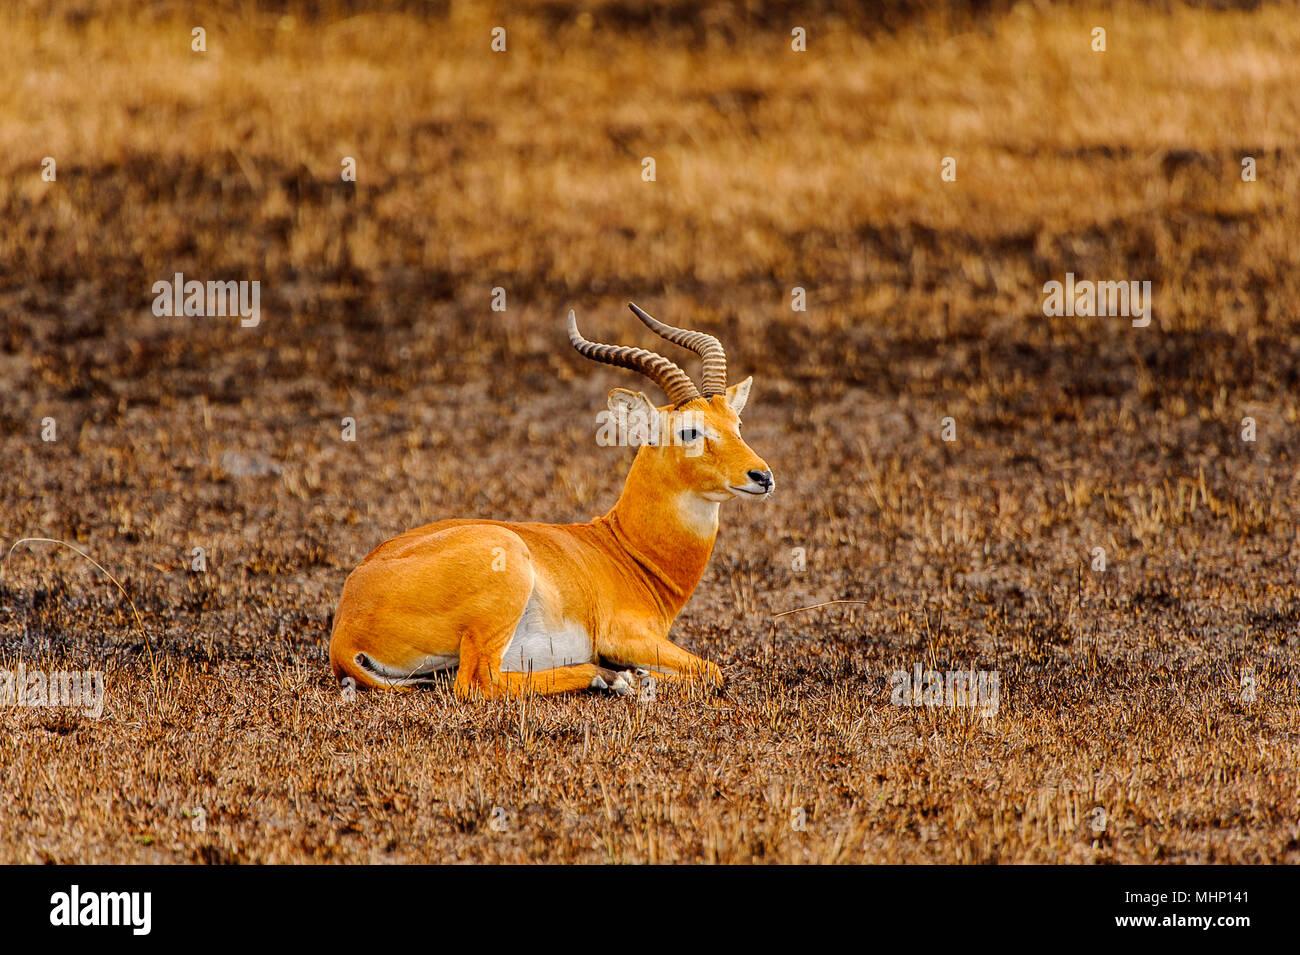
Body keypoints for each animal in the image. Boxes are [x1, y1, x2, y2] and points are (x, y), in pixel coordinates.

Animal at [328, 303, 774, 699]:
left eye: (736, 424)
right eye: (690, 431)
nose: (763, 476)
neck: (624, 550)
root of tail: (345, 629)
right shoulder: (625, 636)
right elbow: (712, 671)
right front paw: (636, 677)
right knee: (477, 683)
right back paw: (609, 678)